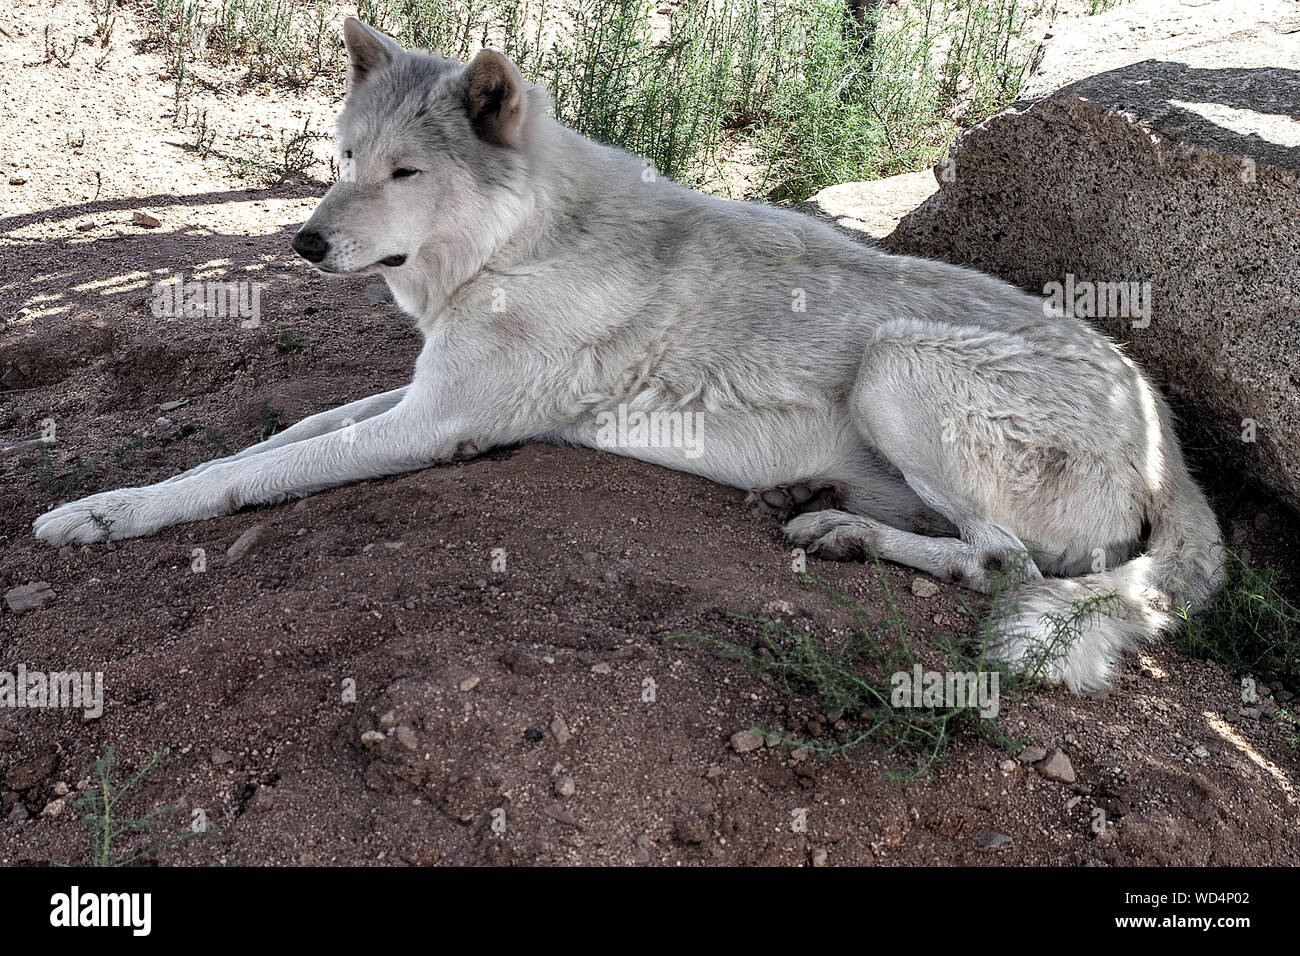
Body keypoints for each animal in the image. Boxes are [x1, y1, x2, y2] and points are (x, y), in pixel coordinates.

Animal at [34, 18, 1224, 691]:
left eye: (407, 173)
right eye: (341, 158)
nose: (304, 244)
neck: (519, 243)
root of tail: (1173, 447)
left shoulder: (435, 424)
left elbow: (249, 475)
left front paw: (116, 515)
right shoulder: (415, 393)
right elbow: (267, 440)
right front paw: (103, 501)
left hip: (899, 365)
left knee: (1002, 564)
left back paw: (838, 530)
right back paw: (821, 504)